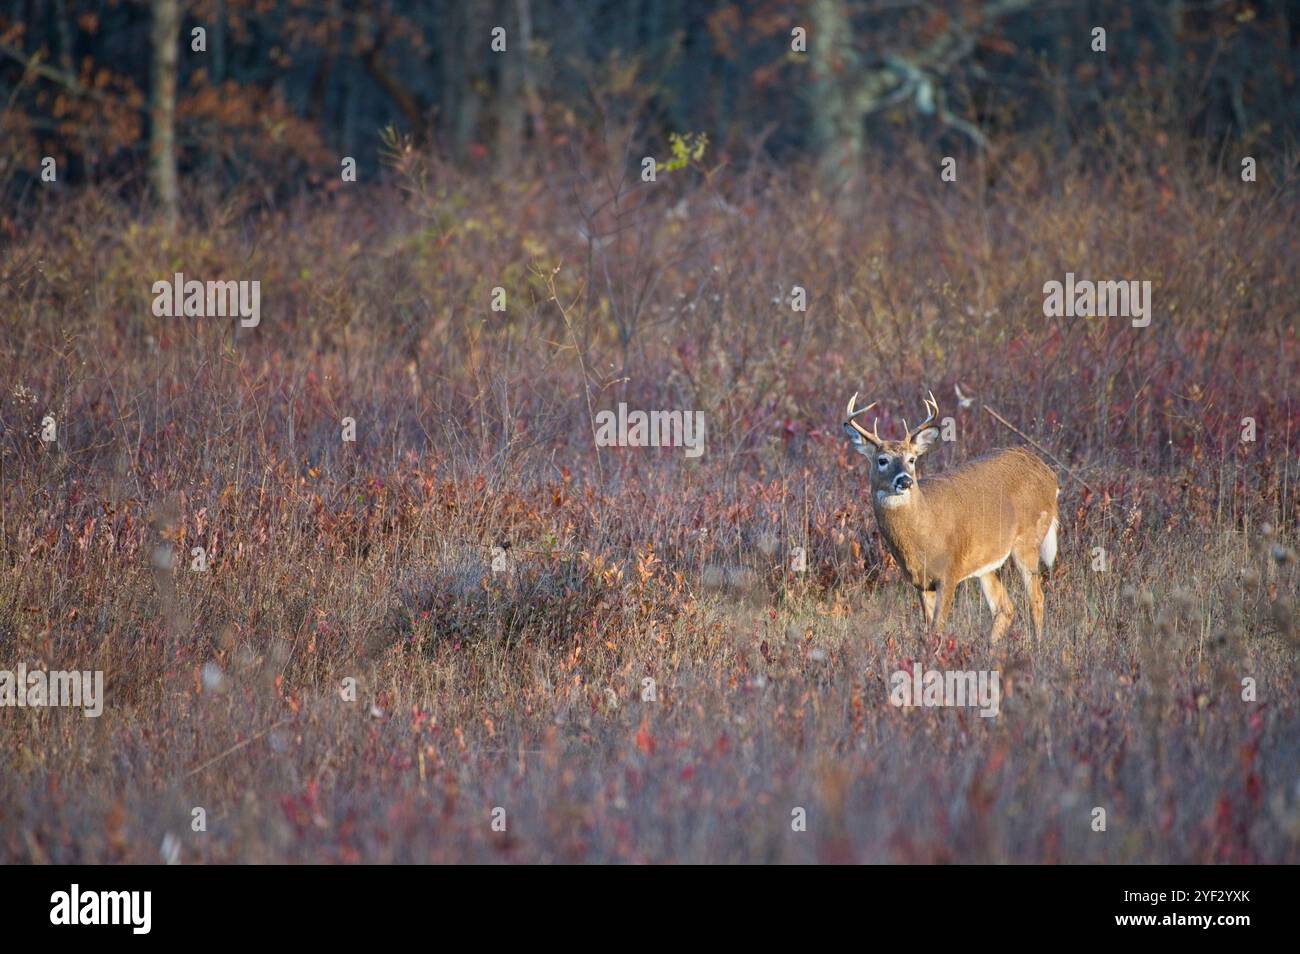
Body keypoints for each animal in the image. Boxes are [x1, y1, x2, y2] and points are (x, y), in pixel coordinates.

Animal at [843, 390, 1059, 643]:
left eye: (912, 459)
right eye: (882, 460)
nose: (905, 481)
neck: (924, 529)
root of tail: (1050, 474)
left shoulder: (949, 572)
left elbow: (937, 629)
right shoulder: (920, 582)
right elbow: (928, 630)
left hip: (1028, 540)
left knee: (1036, 598)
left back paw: (1037, 645)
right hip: (986, 561)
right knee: (1005, 608)